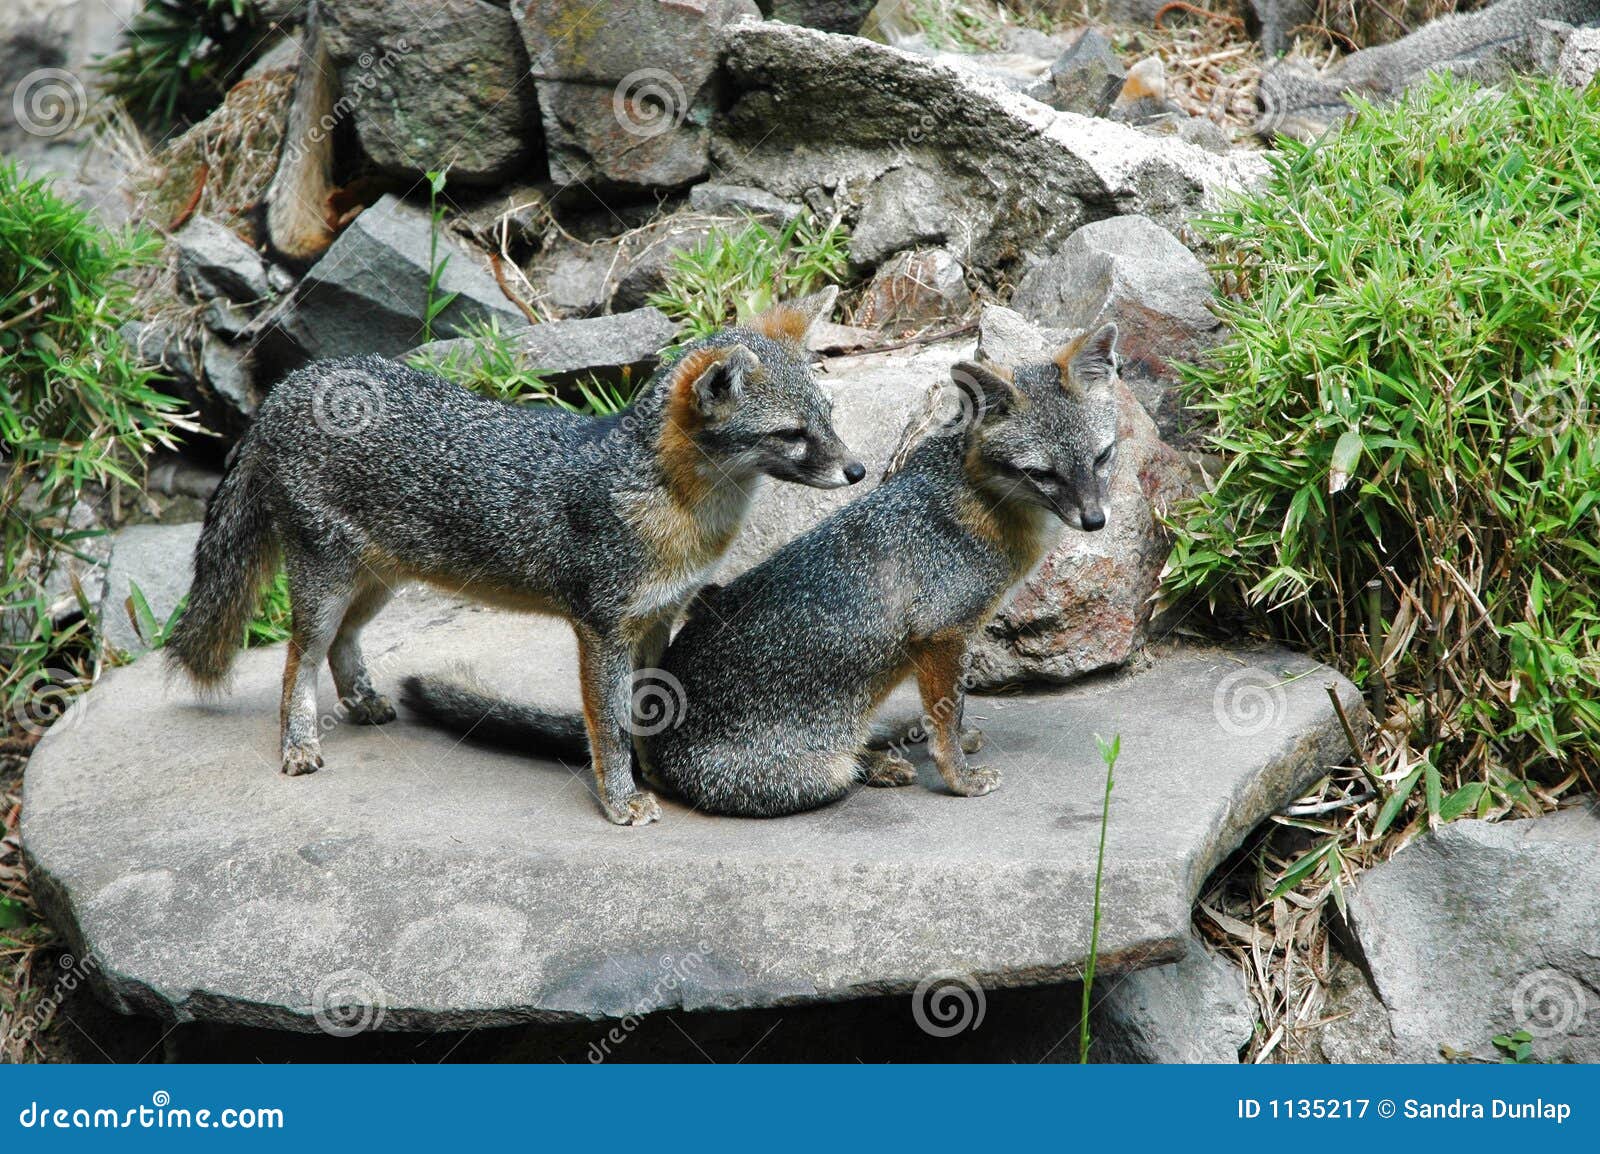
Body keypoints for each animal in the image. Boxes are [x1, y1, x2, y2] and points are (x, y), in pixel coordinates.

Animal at [164, 291, 864, 826]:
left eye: (829, 416)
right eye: (791, 435)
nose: (858, 470)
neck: (678, 509)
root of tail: (292, 384)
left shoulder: (657, 618)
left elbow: (649, 712)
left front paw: (653, 776)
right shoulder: (601, 629)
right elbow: (610, 726)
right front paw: (620, 801)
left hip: (379, 581)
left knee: (344, 642)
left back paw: (362, 702)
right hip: (327, 583)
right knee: (298, 662)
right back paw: (300, 745)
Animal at [400, 325, 1121, 818]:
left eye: (1102, 458)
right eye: (1043, 473)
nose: (1094, 521)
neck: (976, 503)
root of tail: (658, 740)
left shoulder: (950, 640)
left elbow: (954, 710)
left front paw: (964, 739)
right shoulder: (942, 634)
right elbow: (944, 715)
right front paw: (958, 777)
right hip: (814, 771)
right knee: (835, 770)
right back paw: (874, 763)